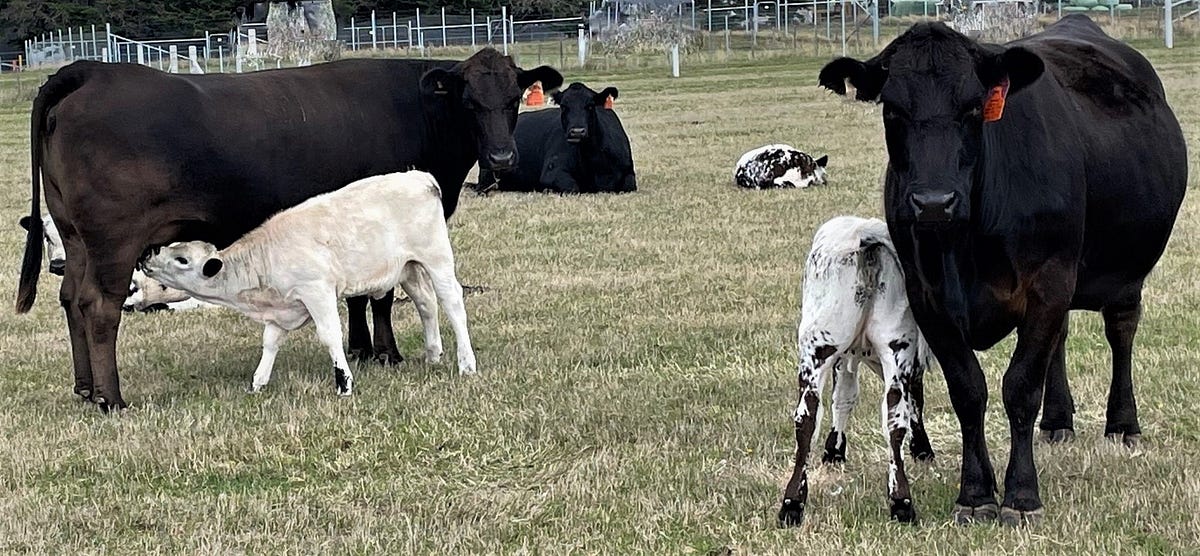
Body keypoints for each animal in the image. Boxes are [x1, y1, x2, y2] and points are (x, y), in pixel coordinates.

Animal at [140, 171, 474, 395]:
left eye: (182, 259)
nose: (146, 254)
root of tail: (418, 176)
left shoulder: (318, 292)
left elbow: (330, 336)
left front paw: (344, 383)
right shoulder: (282, 311)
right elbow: (270, 342)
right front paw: (258, 382)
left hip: (437, 259)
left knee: (452, 303)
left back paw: (466, 364)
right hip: (408, 268)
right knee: (427, 304)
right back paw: (433, 355)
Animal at [477, 82, 636, 194]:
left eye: (590, 106)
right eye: (564, 106)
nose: (577, 132)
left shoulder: (629, 173)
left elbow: (629, 186)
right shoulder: (552, 171)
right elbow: (573, 188)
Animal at [780, 216, 935, 526]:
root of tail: (863, 234)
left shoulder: (846, 356)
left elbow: (842, 397)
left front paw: (834, 450)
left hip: (818, 346)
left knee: (806, 417)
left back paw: (792, 503)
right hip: (896, 347)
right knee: (895, 418)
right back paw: (901, 501)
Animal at [809, 15, 1187, 526]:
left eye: (973, 107)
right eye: (892, 110)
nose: (933, 202)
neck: (967, 242)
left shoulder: (1049, 282)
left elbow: (1021, 387)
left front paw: (1022, 495)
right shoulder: (928, 297)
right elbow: (969, 390)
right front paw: (975, 492)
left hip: (1127, 270)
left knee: (1121, 331)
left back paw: (1122, 423)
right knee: (1061, 338)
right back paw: (1058, 421)